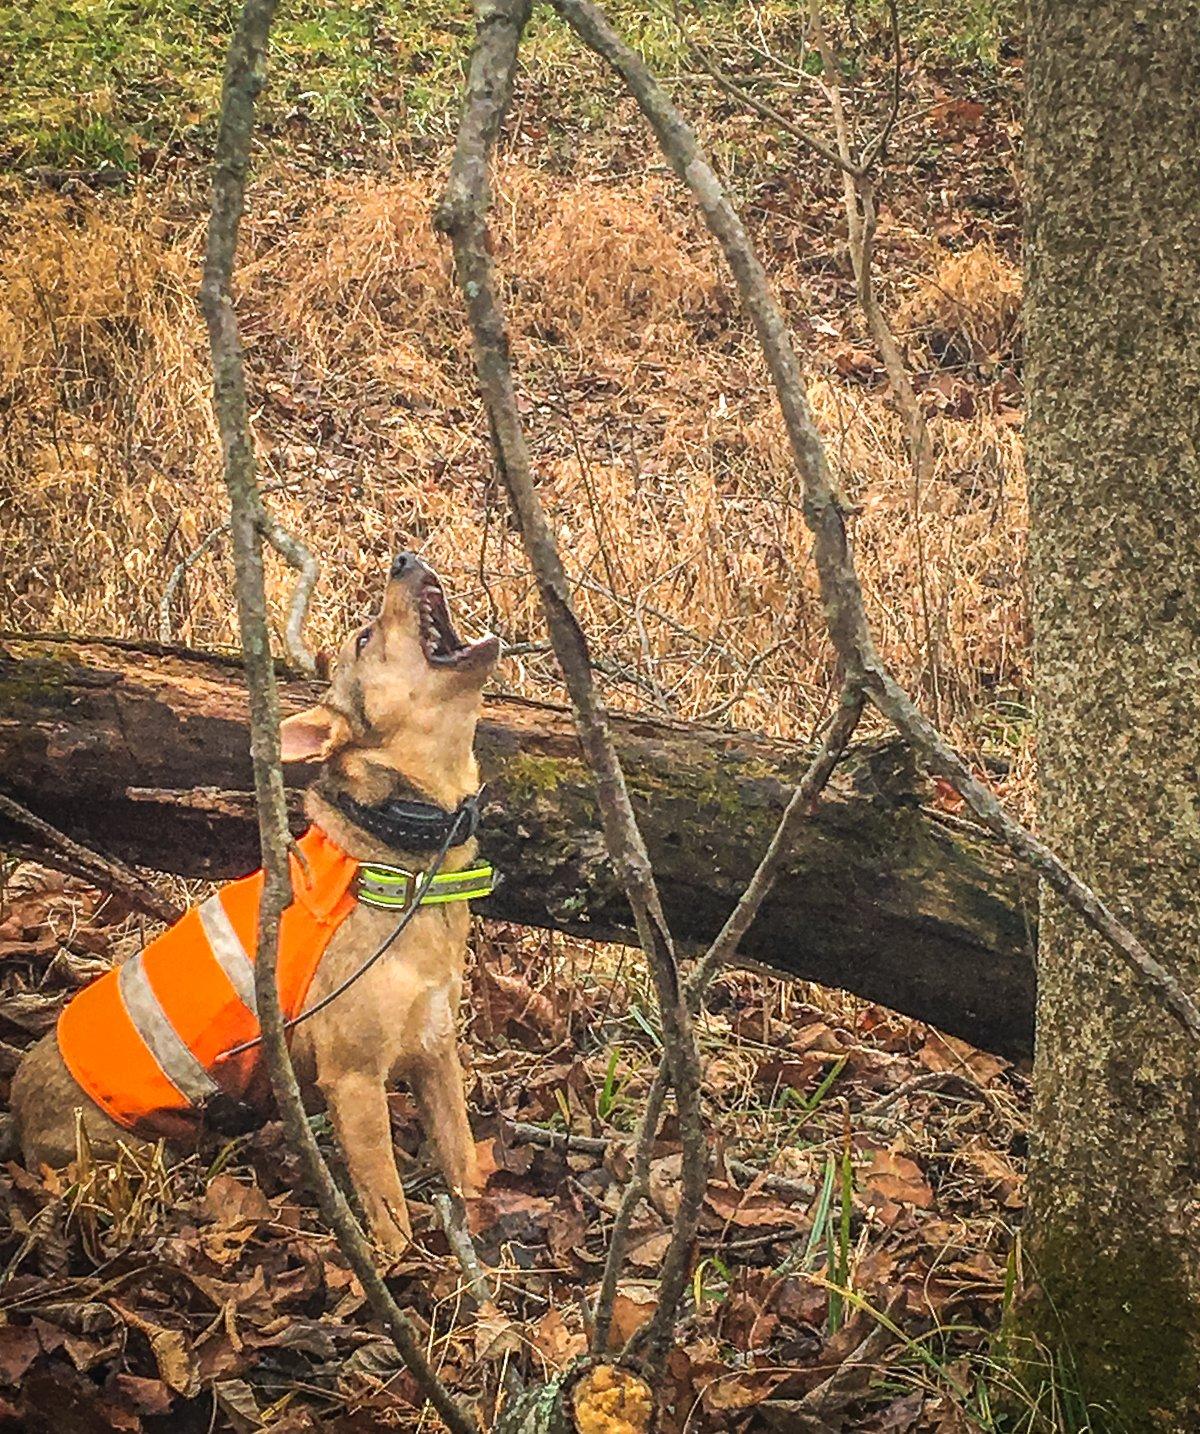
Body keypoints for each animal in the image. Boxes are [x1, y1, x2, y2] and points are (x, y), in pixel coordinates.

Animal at [10, 553, 496, 1250]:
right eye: (364, 639)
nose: (403, 559)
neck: (402, 857)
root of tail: (17, 1115)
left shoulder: (436, 1054)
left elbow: (461, 1161)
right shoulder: (355, 1079)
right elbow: (388, 1207)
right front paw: (406, 1268)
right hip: (131, 1148)